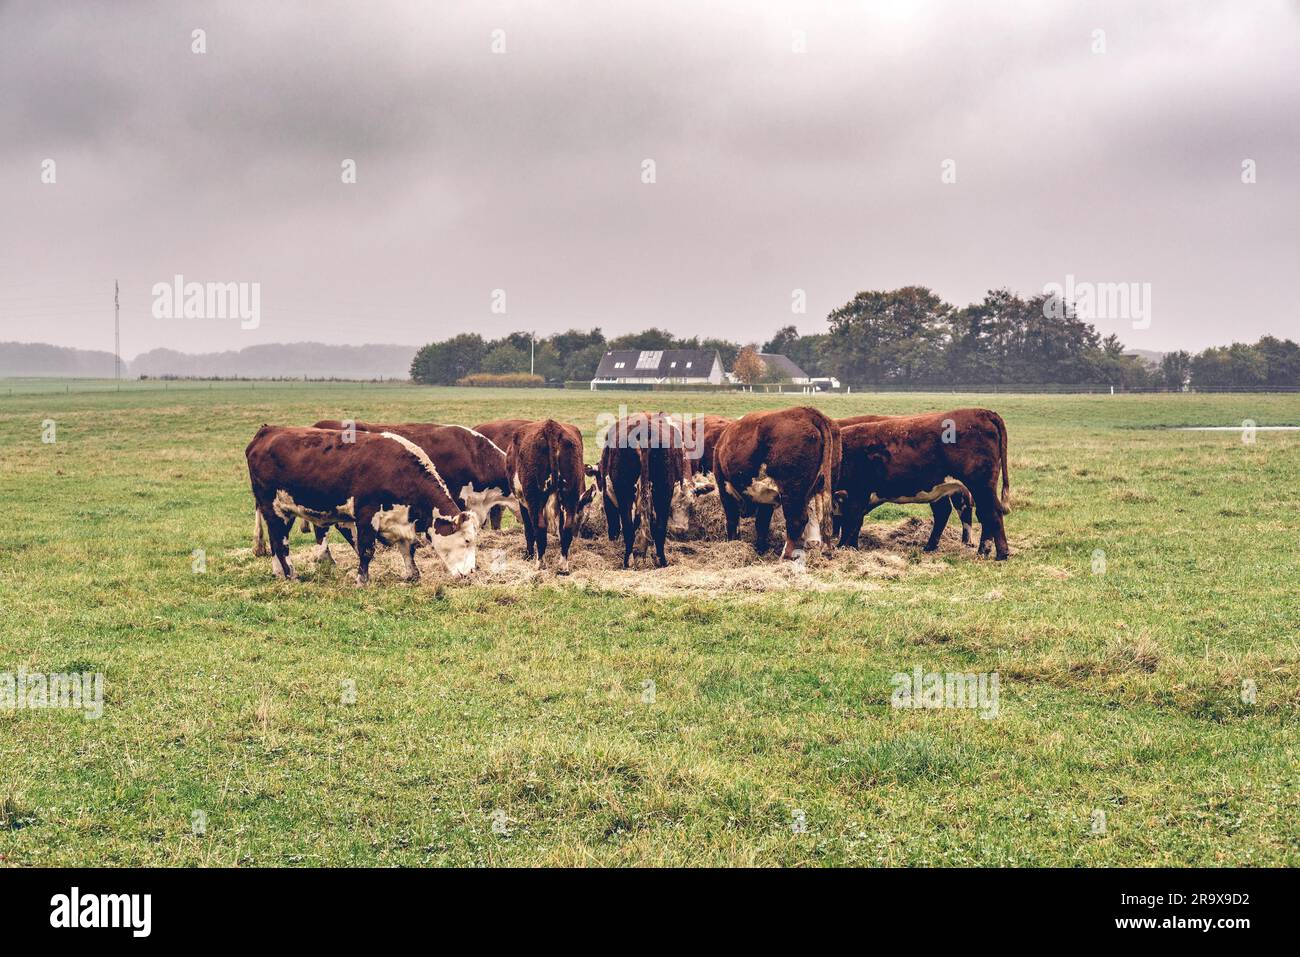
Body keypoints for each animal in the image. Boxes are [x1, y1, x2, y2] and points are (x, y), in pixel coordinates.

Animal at [246, 425, 479, 584]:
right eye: (467, 540)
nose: (471, 572)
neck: (398, 470)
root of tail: (268, 430)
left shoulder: (400, 518)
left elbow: (408, 548)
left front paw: (412, 575)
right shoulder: (367, 514)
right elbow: (366, 549)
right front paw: (362, 580)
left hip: (284, 510)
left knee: (276, 540)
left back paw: (279, 572)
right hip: (273, 508)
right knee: (280, 543)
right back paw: (291, 574)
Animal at [505, 419, 596, 574]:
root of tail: (551, 427)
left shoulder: (522, 501)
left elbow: (528, 530)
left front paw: (528, 555)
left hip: (534, 496)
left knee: (539, 528)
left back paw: (540, 564)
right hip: (569, 494)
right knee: (566, 528)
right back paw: (563, 567)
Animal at [596, 412, 714, 568]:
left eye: (691, 505)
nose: (680, 529)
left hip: (629, 492)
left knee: (632, 527)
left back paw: (631, 560)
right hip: (660, 492)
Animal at [712, 406, 840, 559]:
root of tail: (807, 411)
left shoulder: (725, 488)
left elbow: (732, 520)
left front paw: (733, 544)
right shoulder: (765, 498)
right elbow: (761, 524)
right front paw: (760, 549)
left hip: (792, 491)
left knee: (797, 520)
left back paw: (785, 557)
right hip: (822, 486)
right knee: (821, 518)